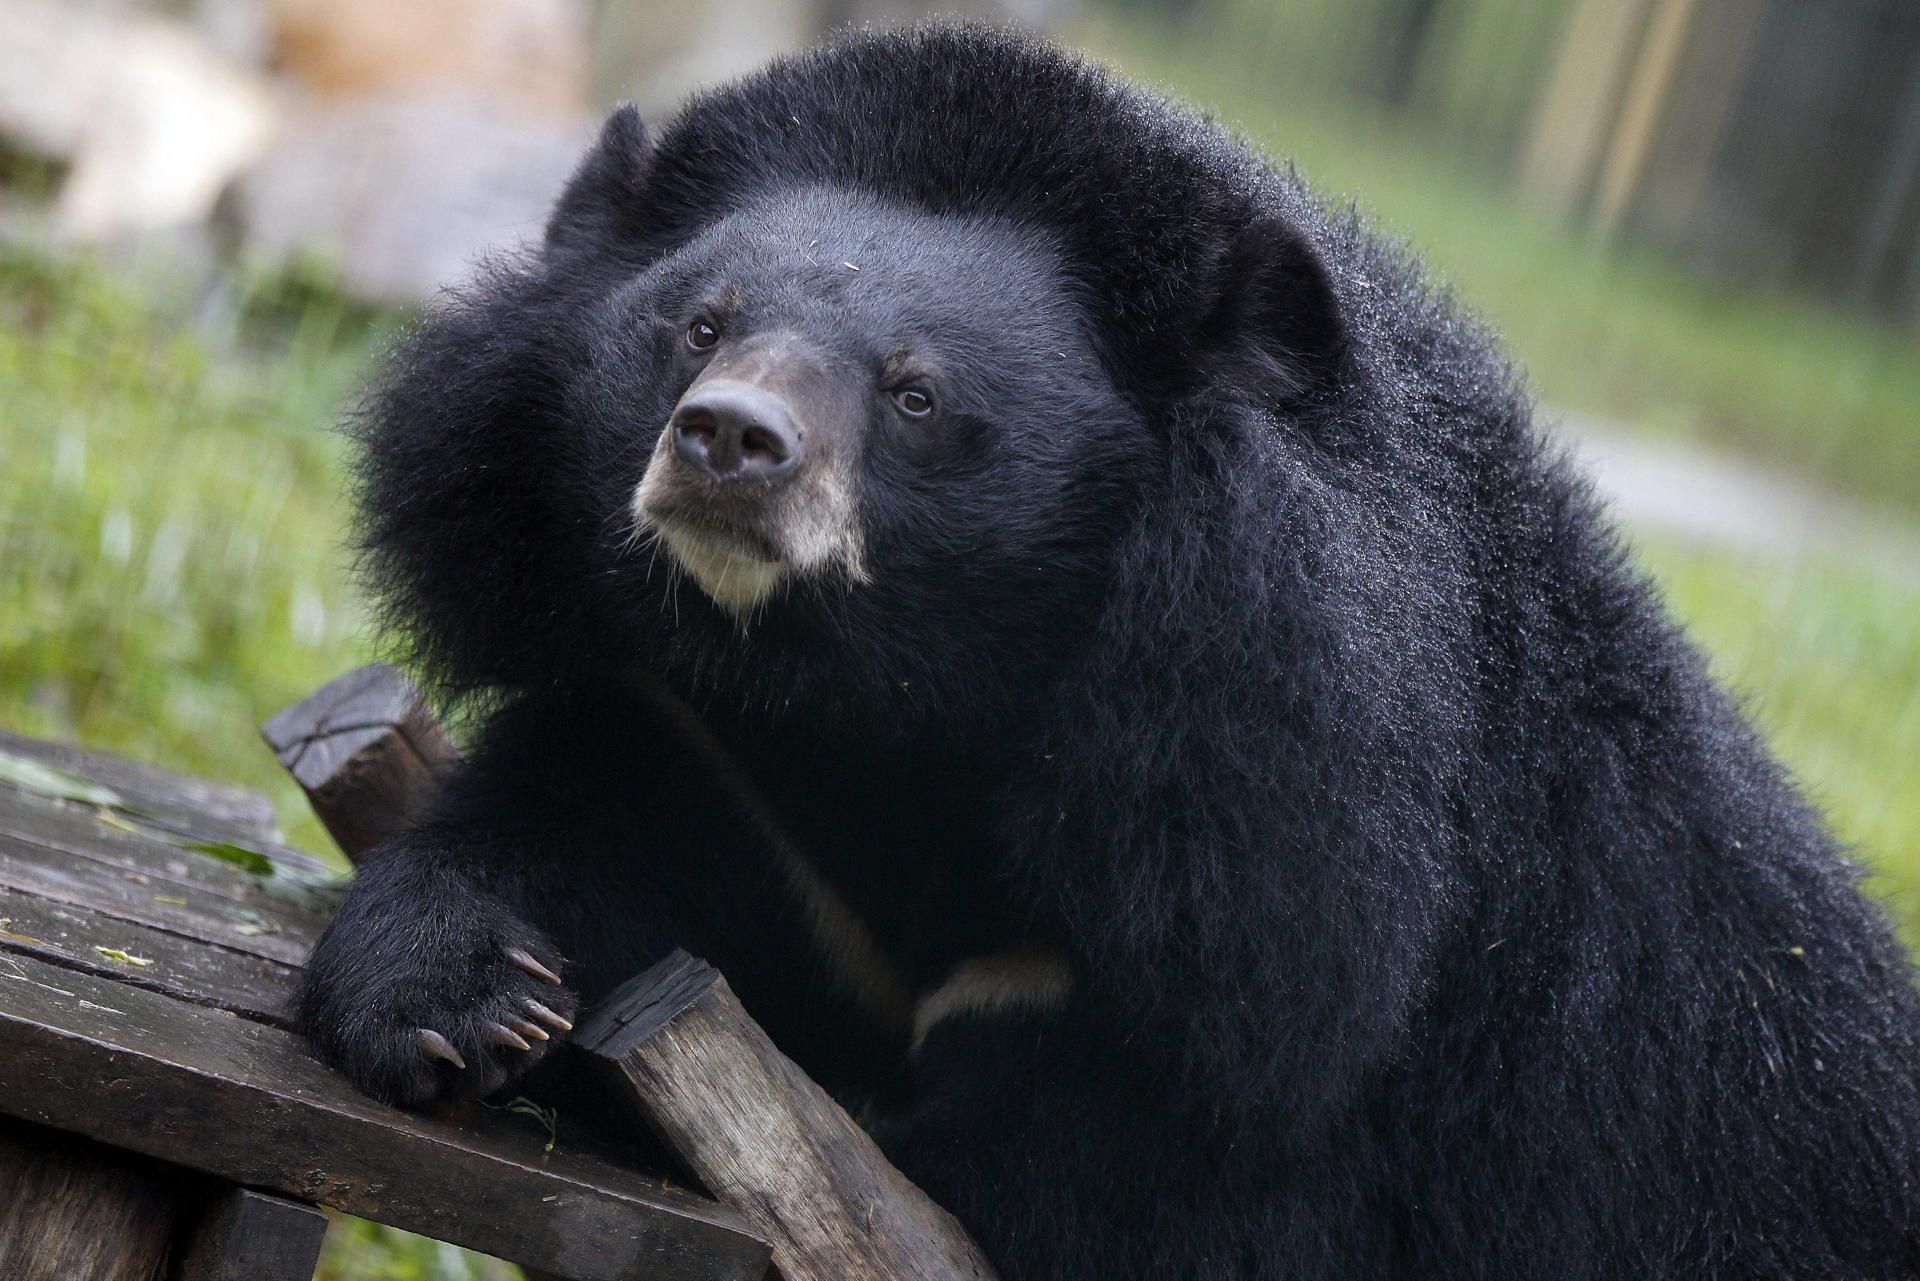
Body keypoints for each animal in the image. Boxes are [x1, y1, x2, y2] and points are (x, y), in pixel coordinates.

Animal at [297, 24, 1920, 1281]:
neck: (897, 708)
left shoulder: (1268, 942)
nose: (727, 443)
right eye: (698, 325)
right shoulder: (725, 764)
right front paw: (460, 999)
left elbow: (1132, 1198)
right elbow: (577, 814)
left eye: (918, 395)